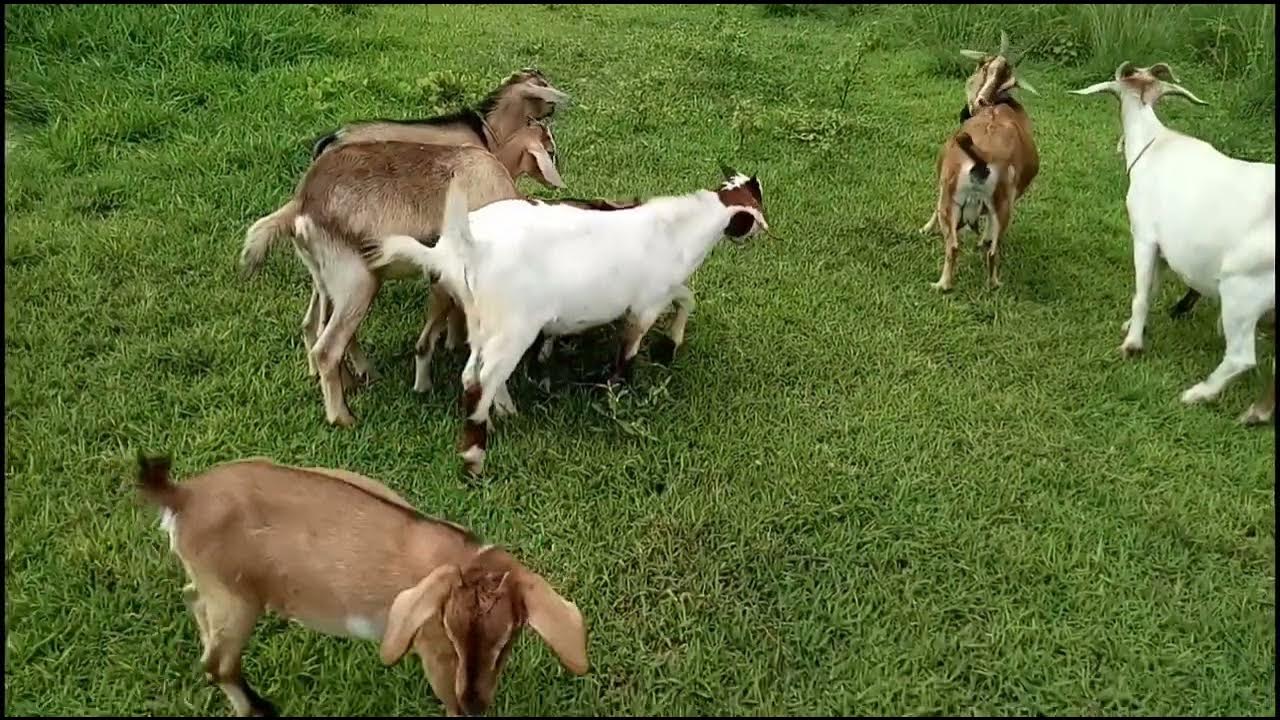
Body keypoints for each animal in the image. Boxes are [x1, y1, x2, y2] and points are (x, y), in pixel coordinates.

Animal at [135, 452, 588, 717]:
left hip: (215, 588)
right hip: (237, 599)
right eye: (450, 629)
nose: (476, 703)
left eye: (508, 637)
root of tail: (182, 496)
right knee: (219, 664)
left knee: (194, 604)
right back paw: (260, 710)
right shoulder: (433, 651)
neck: (464, 557)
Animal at [240, 122, 563, 427]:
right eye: (550, 150)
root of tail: (300, 206)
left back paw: (354, 378)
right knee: (327, 348)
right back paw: (343, 417)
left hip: (325, 279)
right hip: (354, 282)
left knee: (317, 326)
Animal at [363, 164, 769, 475]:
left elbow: (687, 298)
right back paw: (475, 454)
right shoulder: (646, 304)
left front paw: (670, 345)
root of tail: (464, 248)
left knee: (474, 374)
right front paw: (621, 388)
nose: (757, 235)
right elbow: (629, 350)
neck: (679, 231)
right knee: (482, 379)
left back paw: (500, 414)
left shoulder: (660, 292)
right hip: (513, 326)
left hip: (481, 319)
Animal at [920, 32, 1040, 291]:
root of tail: (981, 157)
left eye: (1008, 83)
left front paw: (925, 228)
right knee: (991, 250)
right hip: (1001, 205)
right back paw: (989, 283)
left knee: (958, 246)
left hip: (960, 199)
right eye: (987, 68)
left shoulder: (942, 181)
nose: (982, 100)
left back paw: (943, 284)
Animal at [1070, 62, 1276, 424]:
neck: (1156, 144)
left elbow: (1141, 294)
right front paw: (1133, 326)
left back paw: (1197, 394)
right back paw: (1256, 413)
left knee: (1241, 357)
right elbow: (1152, 288)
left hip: (1243, 290)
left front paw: (1132, 344)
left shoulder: (1144, 236)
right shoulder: (1165, 250)